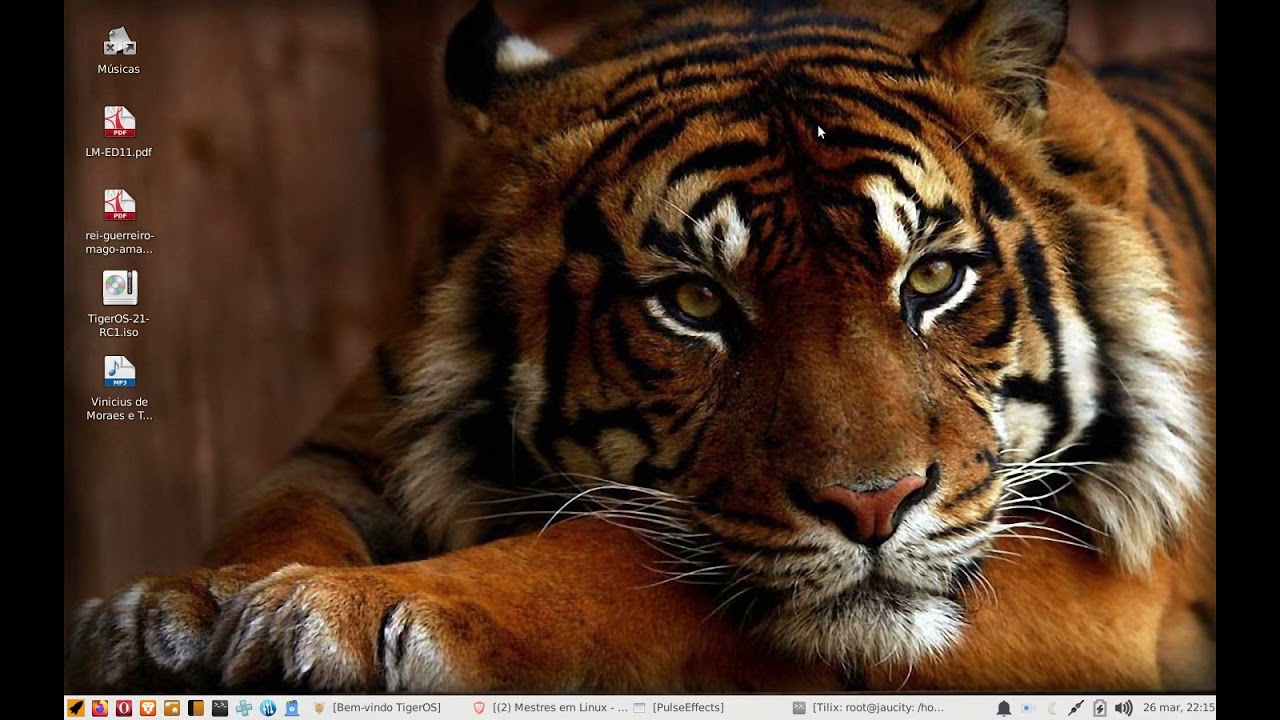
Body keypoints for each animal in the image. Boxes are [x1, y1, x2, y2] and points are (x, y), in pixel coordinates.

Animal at [67, 0, 1215, 692]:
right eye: (695, 302)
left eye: (931, 279)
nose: (874, 506)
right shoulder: (352, 444)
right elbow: (276, 514)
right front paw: (174, 614)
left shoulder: (1093, 570)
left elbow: (613, 553)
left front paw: (353, 613)